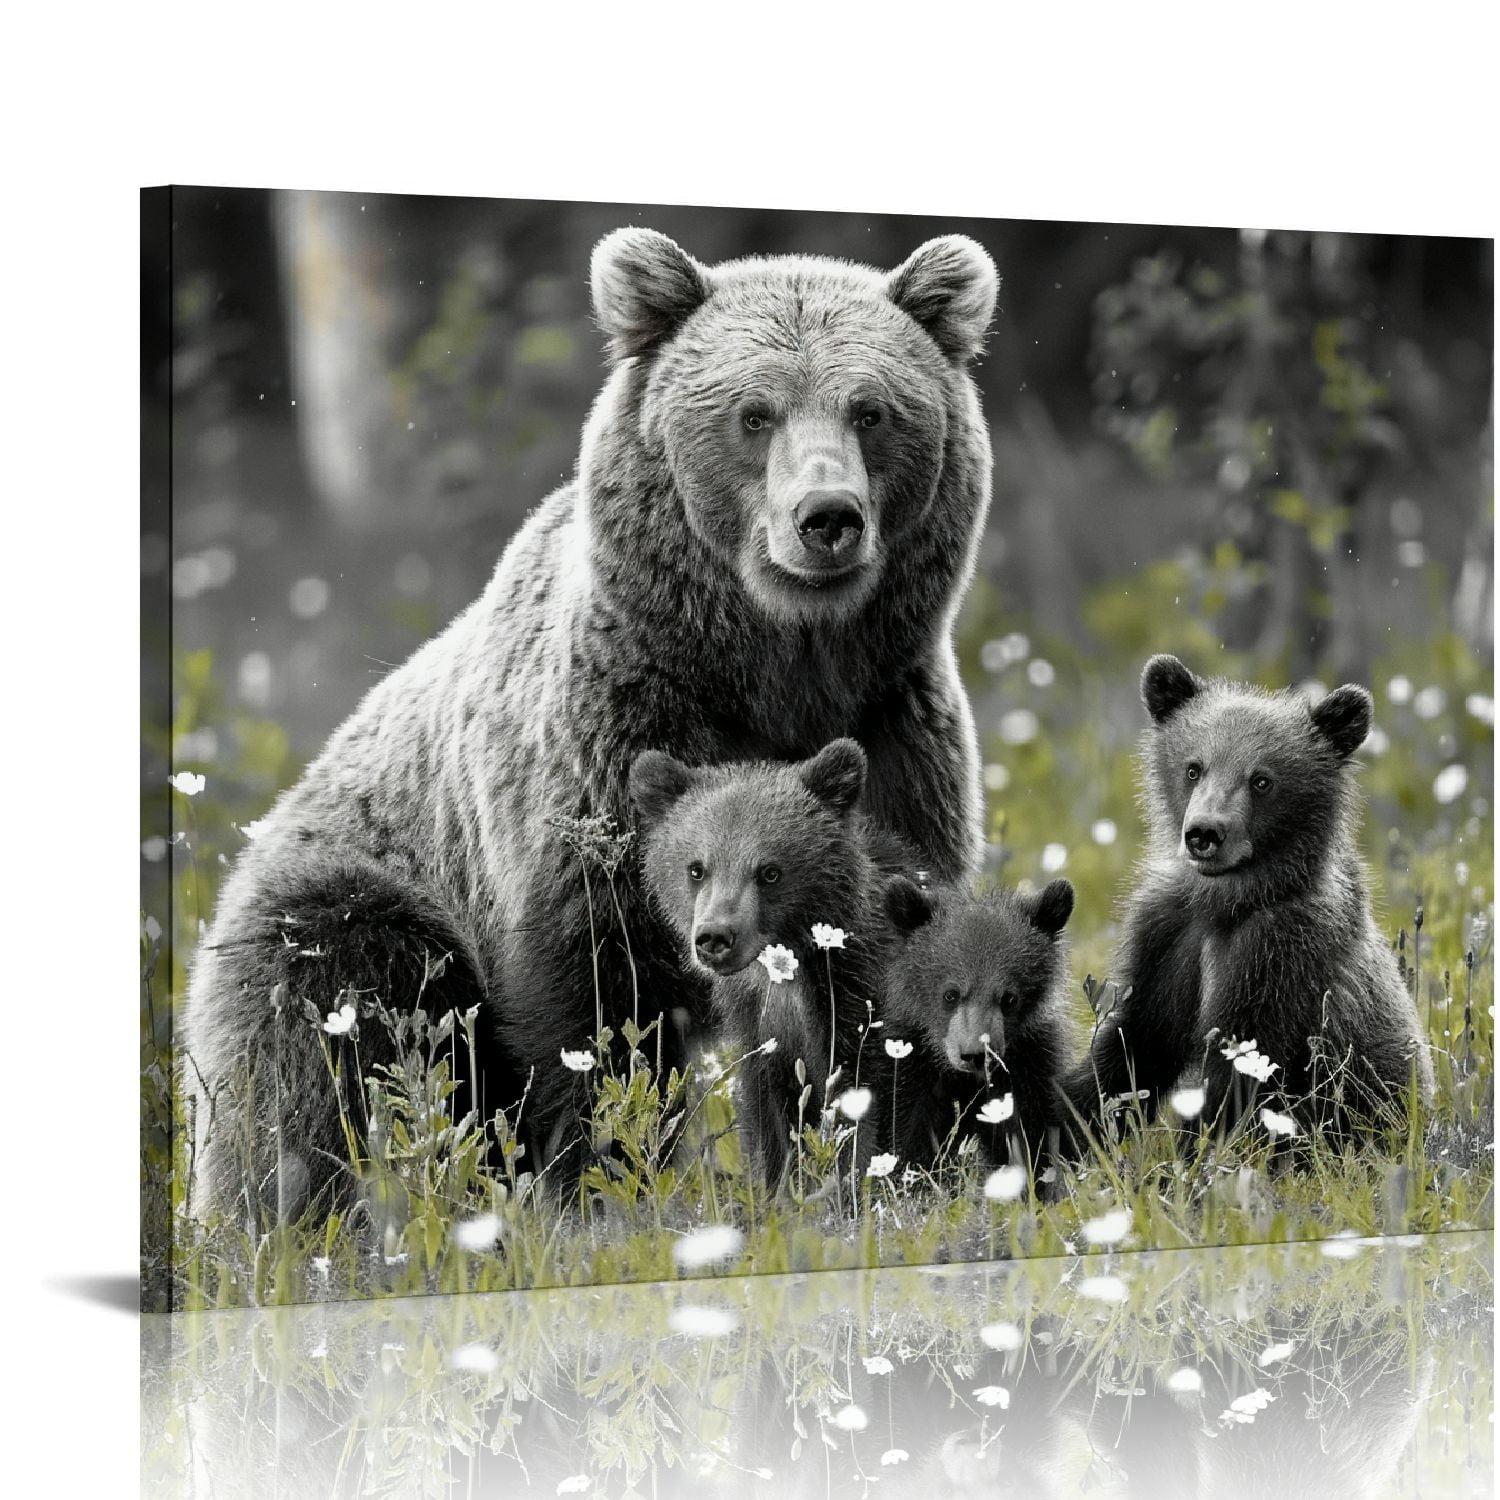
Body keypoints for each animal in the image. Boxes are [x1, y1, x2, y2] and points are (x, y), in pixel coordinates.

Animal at [630, 737, 919, 1188]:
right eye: (696, 869)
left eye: (769, 871)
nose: (715, 937)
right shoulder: (759, 1028)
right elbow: (769, 1120)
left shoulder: (862, 1007)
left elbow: (863, 1108)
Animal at [881, 878, 1077, 1174]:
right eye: (950, 994)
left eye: (1009, 997)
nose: (974, 1054)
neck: (967, 1083)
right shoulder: (915, 1078)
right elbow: (908, 1139)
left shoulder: (1029, 1072)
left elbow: (1033, 1139)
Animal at [1064, 653, 1434, 1147]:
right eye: (1194, 767)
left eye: (1261, 780)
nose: (1204, 833)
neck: (1227, 902)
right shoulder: (1167, 936)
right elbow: (1130, 1049)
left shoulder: (1280, 953)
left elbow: (1236, 1071)